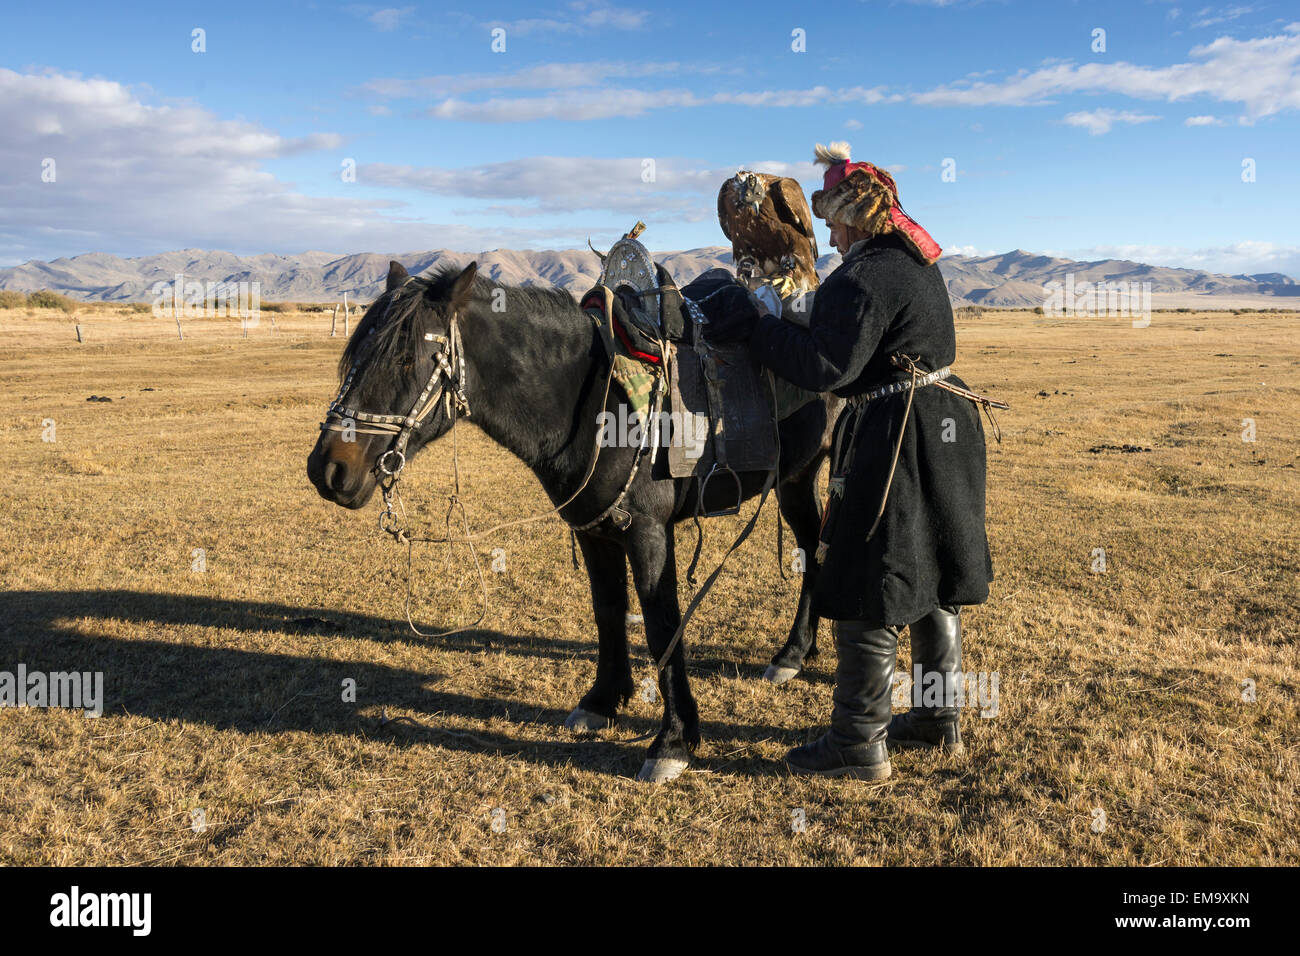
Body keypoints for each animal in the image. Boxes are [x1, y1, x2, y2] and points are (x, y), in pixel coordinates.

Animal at [306, 259, 840, 782]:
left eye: (403, 360)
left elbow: (661, 625)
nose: (327, 470)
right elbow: (608, 611)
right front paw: (603, 702)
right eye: (353, 358)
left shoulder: (648, 531)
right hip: (796, 479)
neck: (593, 404)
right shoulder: (594, 528)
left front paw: (673, 741)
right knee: (813, 552)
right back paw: (796, 653)